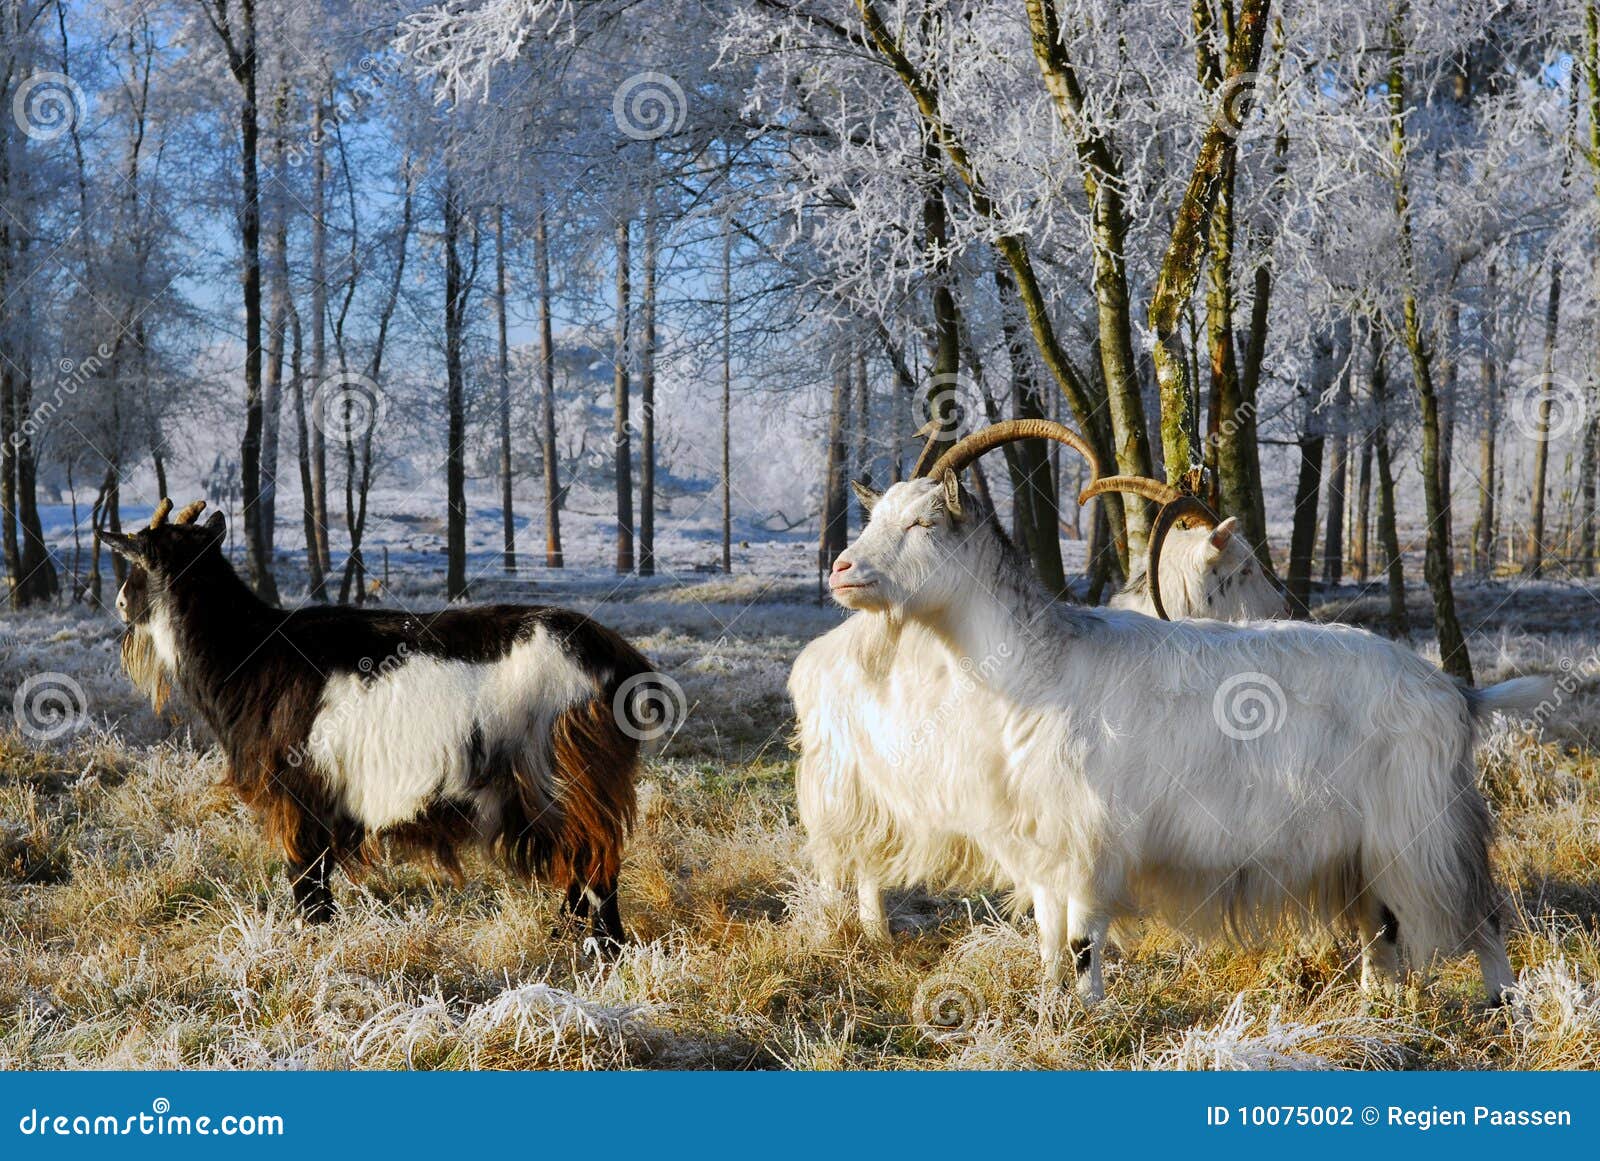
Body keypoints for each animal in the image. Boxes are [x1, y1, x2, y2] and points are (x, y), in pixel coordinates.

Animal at [102, 499, 659, 945]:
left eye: (140, 560)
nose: (121, 602)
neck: (252, 652)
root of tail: (621, 662)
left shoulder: (301, 795)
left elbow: (307, 882)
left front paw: (313, 943)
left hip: (570, 778)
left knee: (596, 863)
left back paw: (605, 949)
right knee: (581, 863)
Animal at [800, 430, 1551, 1005]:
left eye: (923, 523)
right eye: (877, 516)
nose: (841, 569)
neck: (1040, 668)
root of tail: (1456, 694)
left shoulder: (1094, 843)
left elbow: (1083, 940)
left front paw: (1087, 1014)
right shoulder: (1046, 847)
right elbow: (1048, 939)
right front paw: (1049, 1009)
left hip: (1425, 833)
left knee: (1482, 914)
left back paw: (1502, 1004)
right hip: (1362, 850)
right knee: (1381, 929)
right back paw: (1378, 1005)